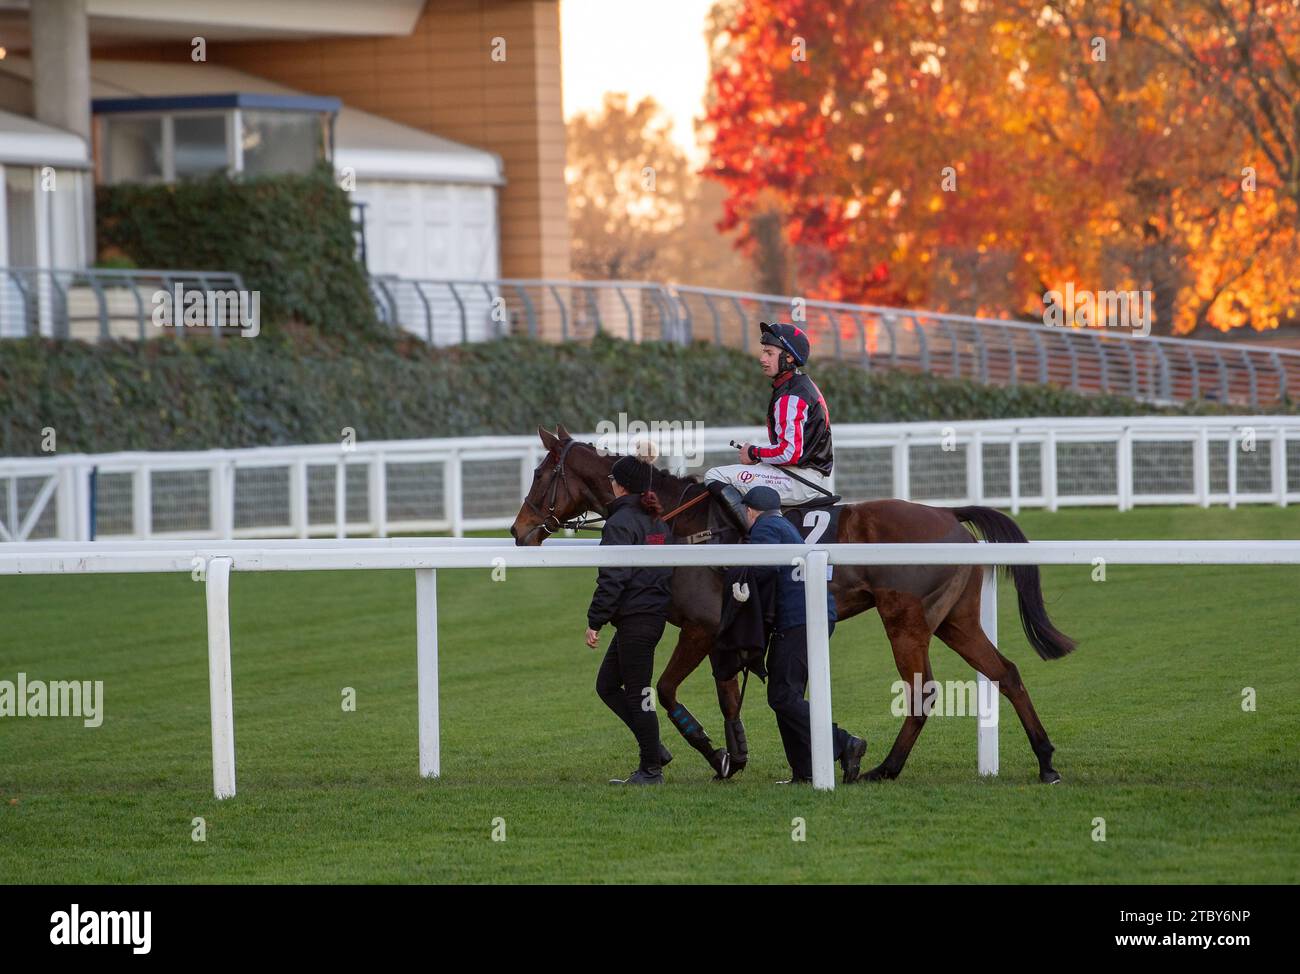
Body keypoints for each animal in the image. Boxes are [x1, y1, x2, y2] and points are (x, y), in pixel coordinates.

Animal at [510, 424, 1077, 784]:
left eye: (539, 475)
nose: (518, 532)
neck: (679, 522)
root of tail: (949, 515)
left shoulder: (699, 627)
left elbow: (666, 692)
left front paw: (711, 750)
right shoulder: (724, 634)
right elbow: (729, 697)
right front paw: (735, 755)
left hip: (906, 621)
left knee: (923, 693)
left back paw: (882, 767)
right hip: (955, 621)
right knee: (1005, 672)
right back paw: (1046, 760)